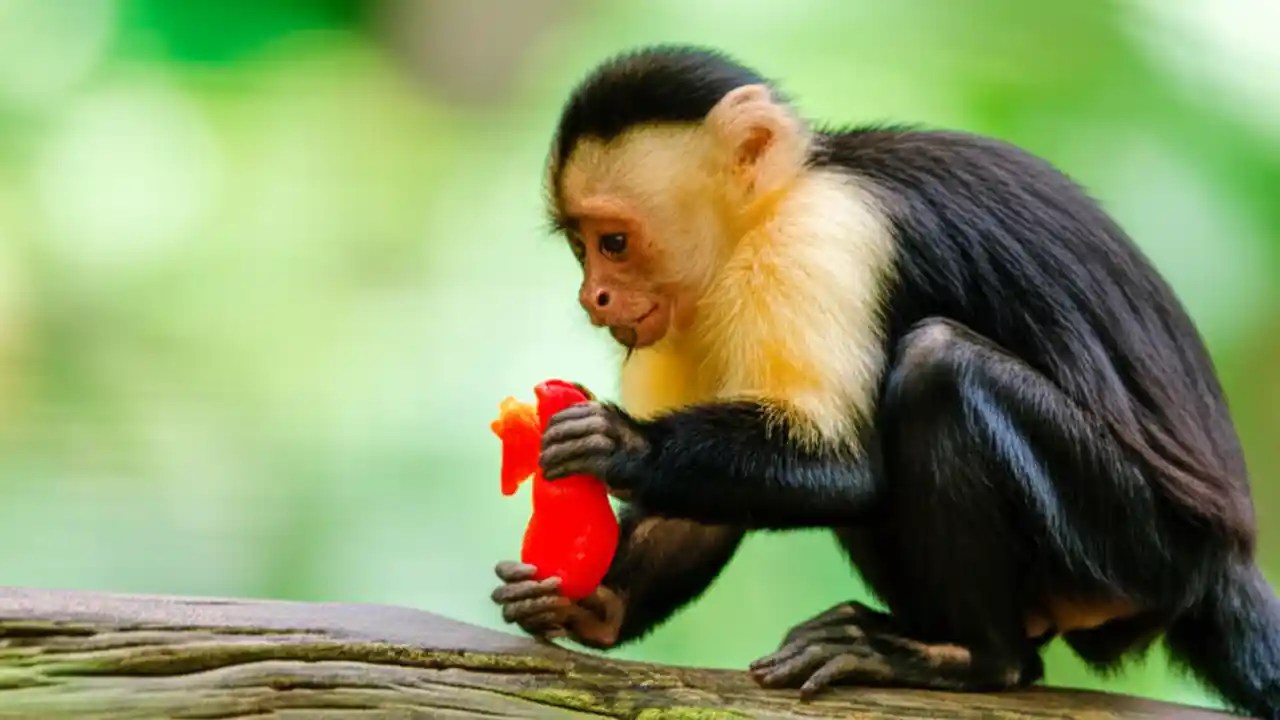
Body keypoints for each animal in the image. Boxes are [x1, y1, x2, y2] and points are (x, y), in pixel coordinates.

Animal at [487, 46, 1280, 718]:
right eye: (582, 247)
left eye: (616, 243)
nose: (594, 297)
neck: (766, 216)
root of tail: (1224, 564)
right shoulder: (685, 313)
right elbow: (696, 512)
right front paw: (596, 605)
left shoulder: (817, 240)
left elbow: (847, 468)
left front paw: (622, 445)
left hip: (1141, 549)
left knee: (937, 368)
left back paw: (973, 659)